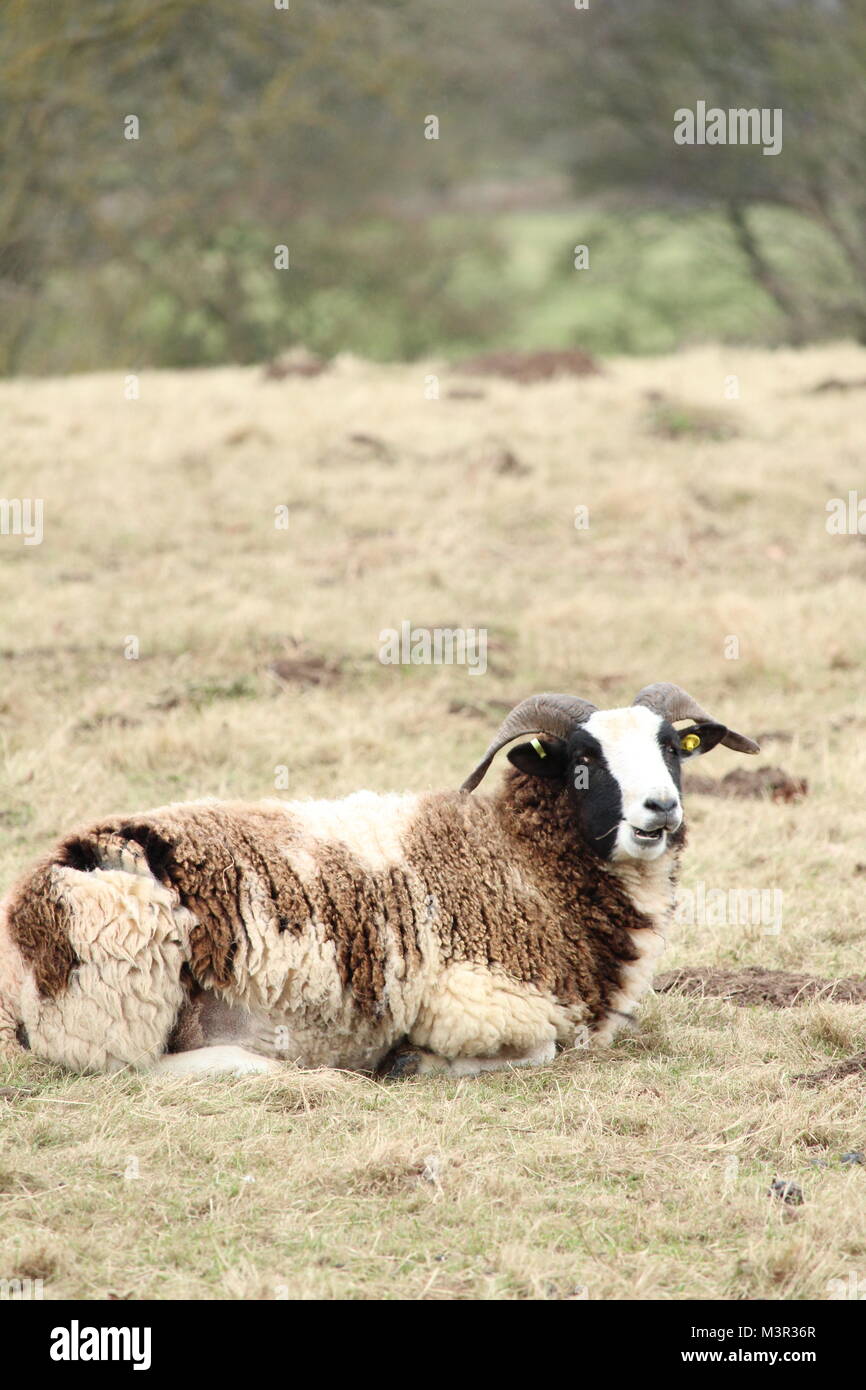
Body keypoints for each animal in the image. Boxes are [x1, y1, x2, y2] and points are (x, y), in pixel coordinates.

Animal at [0, 682, 758, 1079]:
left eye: (673, 749)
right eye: (583, 762)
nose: (660, 808)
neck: (518, 855)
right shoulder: (476, 997)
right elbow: (539, 1049)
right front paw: (409, 1061)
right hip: (122, 995)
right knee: (136, 1067)